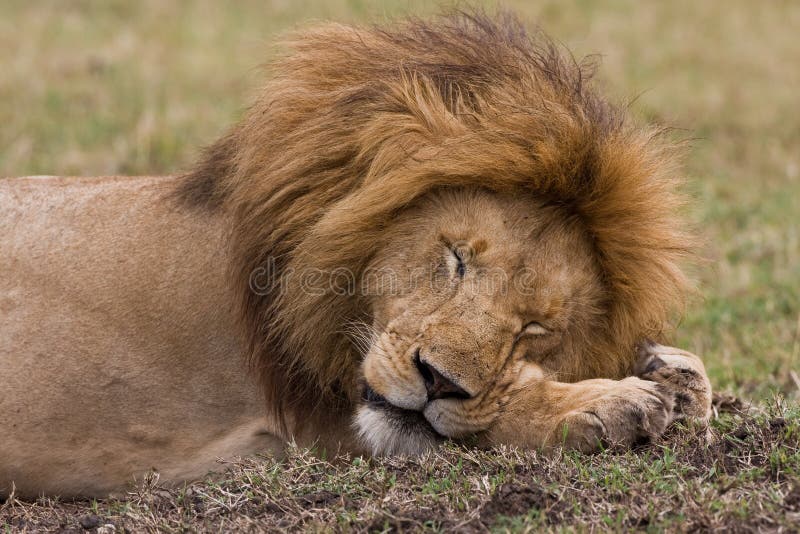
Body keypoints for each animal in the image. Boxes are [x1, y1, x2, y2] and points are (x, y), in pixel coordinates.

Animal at [0, 12, 711, 498]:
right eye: (456, 259)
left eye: (536, 327)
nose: (439, 381)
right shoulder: (301, 426)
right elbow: (485, 423)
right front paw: (613, 402)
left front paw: (675, 373)